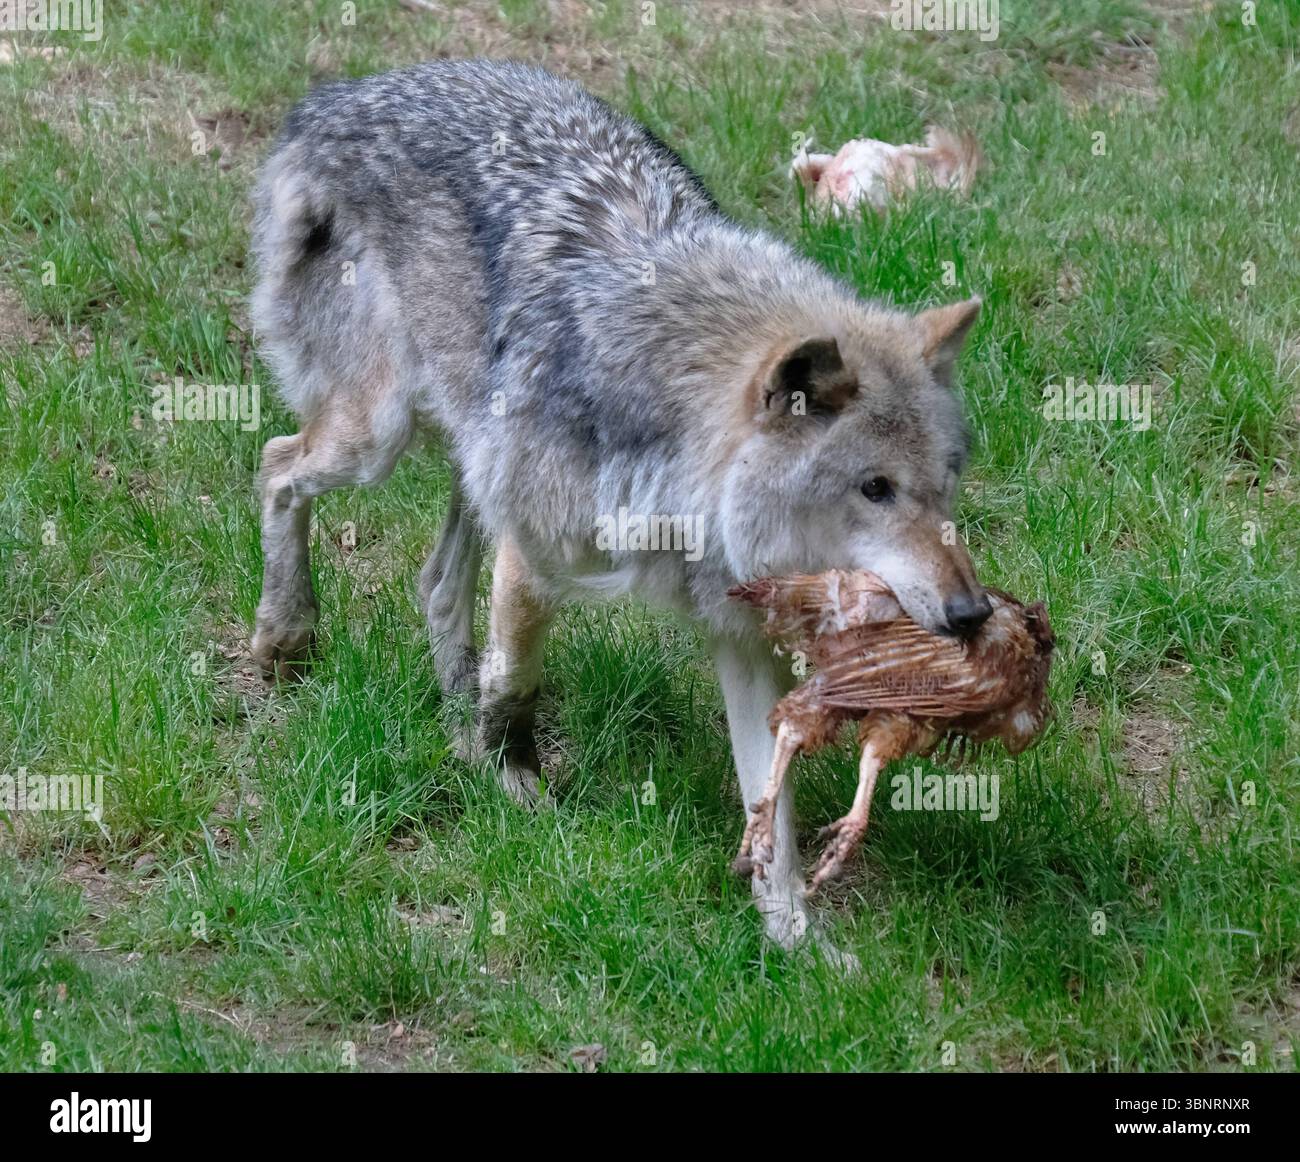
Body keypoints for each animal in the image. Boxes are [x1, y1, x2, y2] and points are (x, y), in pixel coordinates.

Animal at [249, 60, 990, 964]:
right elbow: (516, 684)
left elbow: (770, 807)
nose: (973, 613)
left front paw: (792, 936)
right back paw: (286, 634)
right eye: (875, 489)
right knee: (276, 466)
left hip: (469, 456)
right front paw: (512, 783)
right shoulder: (534, 555)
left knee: (433, 581)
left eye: (945, 483)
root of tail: (339, 95)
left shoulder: (742, 635)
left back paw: (446, 698)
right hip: (375, 438)